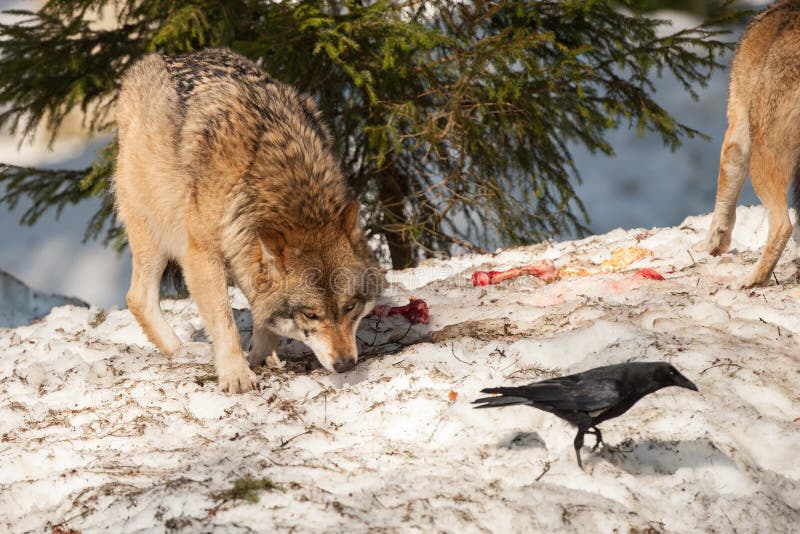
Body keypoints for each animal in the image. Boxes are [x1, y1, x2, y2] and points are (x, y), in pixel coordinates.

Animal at [114, 48, 383, 393]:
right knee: (138, 298)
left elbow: (263, 312)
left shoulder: (245, 247)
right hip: (156, 233)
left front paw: (262, 355)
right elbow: (225, 322)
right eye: (310, 315)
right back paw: (181, 351)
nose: (346, 364)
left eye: (350, 308)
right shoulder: (201, 255)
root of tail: (151, 61)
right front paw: (237, 375)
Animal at [705, 0, 800, 288]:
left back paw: (752, 280)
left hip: (761, 158)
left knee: (783, 225)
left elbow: (725, 193)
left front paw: (716, 239)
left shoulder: (736, 130)